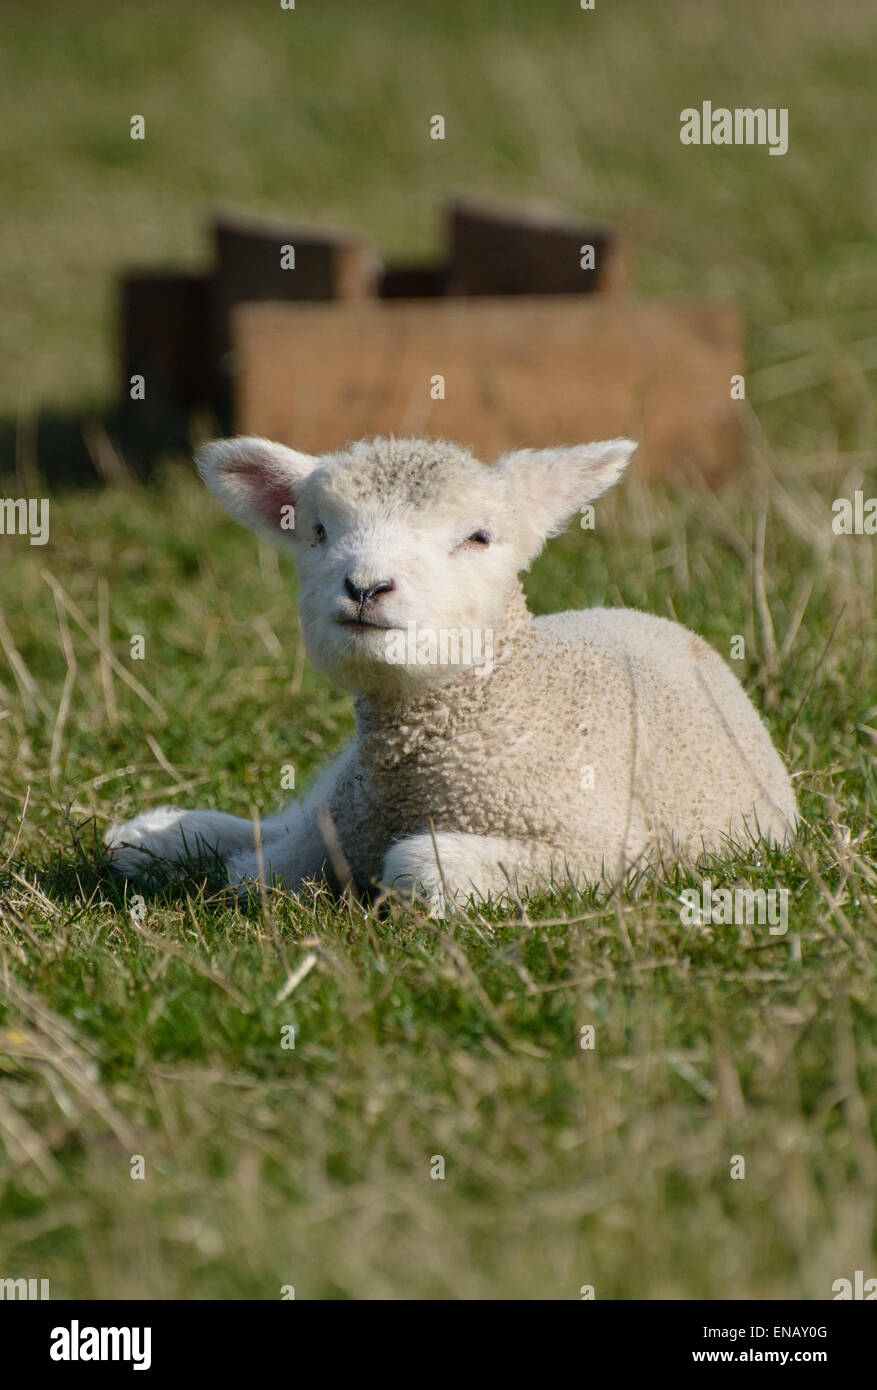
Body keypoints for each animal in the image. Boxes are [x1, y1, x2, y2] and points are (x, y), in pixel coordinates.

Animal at [105, 434, 798, 912]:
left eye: (479, 538)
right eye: (318, 531)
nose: (366, 587)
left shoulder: (602, 851)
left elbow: (413, 867)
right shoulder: (340, 820)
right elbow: (263, 868)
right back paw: (151, 835)